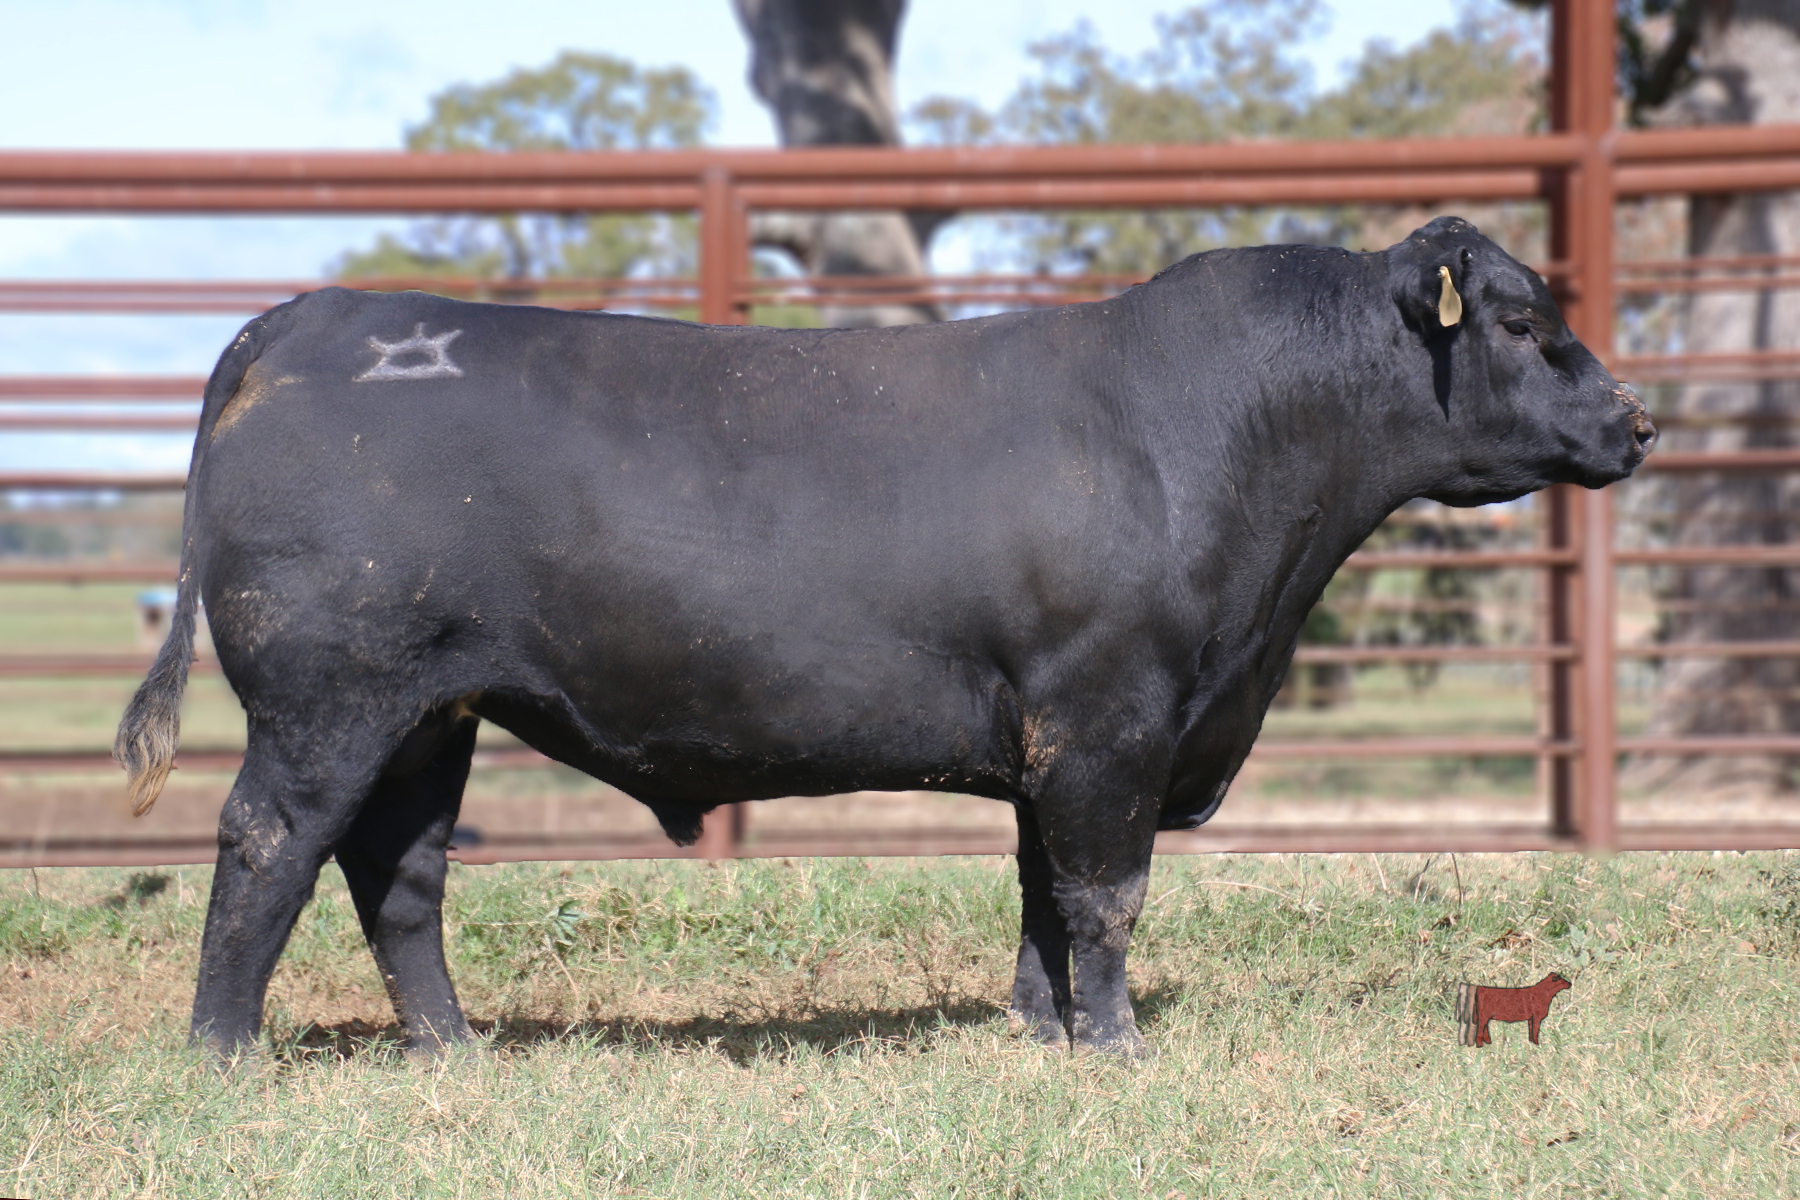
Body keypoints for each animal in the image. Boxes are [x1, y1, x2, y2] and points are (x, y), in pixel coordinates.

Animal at [115, 217, 1653, 1059]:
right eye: (1524, 319)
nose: (1639, 420)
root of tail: (316, 316)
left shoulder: (1055, 737)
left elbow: (1040, 894)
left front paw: (1040, 1035)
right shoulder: (1112, 721)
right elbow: (1105, 897)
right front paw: (1118, 1046)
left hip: (434, 711)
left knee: (400, 874)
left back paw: (458, 1052)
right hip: (332, 698)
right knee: (268, 845)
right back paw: (223, 1054)